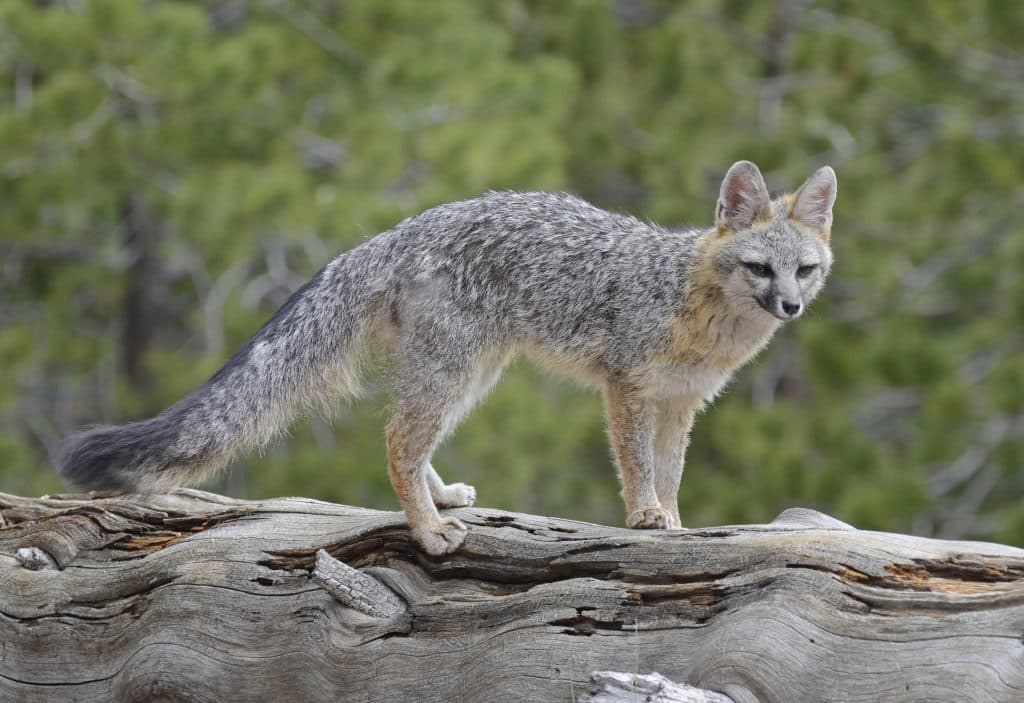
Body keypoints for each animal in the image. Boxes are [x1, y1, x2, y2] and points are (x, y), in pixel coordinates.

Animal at [59, 160, 837, 555]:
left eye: (806, 271)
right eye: (760, 268)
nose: (791, 309)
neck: (694, 304)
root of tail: (397, 230)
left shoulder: (681, 402)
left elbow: (671, 472)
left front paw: (674, 520)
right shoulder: (627, 387)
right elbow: (639, 465)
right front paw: (646, 516)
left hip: (472, 376)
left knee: (412, 440)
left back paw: (439, 501)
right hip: (455, 372)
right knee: (397, 442)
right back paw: (429, 530)